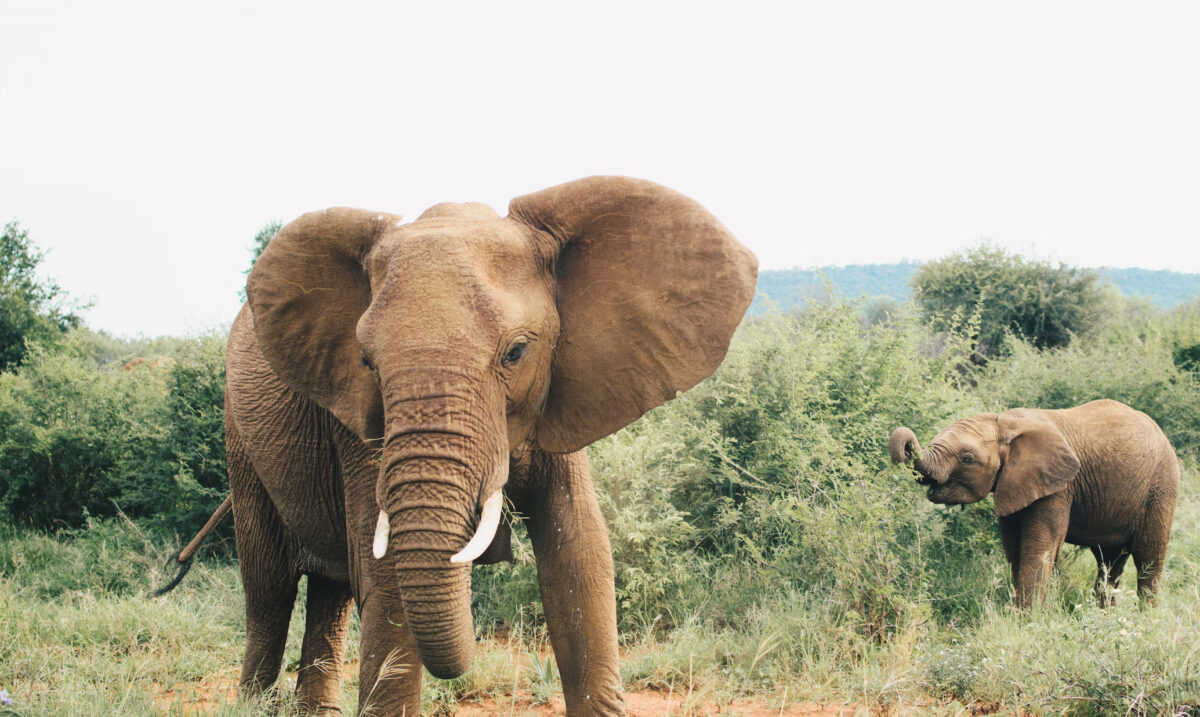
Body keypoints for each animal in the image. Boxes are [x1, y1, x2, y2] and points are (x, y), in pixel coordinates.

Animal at [223, 176, 757, 715]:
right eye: (367, 362)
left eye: (516, 352)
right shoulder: (357, 420)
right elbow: (385, 575)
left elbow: (578, 553)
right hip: (239, 443)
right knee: (269, 589)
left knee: (329, 590)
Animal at [889, 399, 1179, 607]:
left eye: (967, 458)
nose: (907, 444)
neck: (1007, 422)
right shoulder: (1012, 481)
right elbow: (1014, 547)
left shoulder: (1059, 487)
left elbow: (1038, 546)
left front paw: (1026, 619)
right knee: (1109, 562)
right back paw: (1104, 617)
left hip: (1160, 487)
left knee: (1148, 557)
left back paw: (1145, 619)